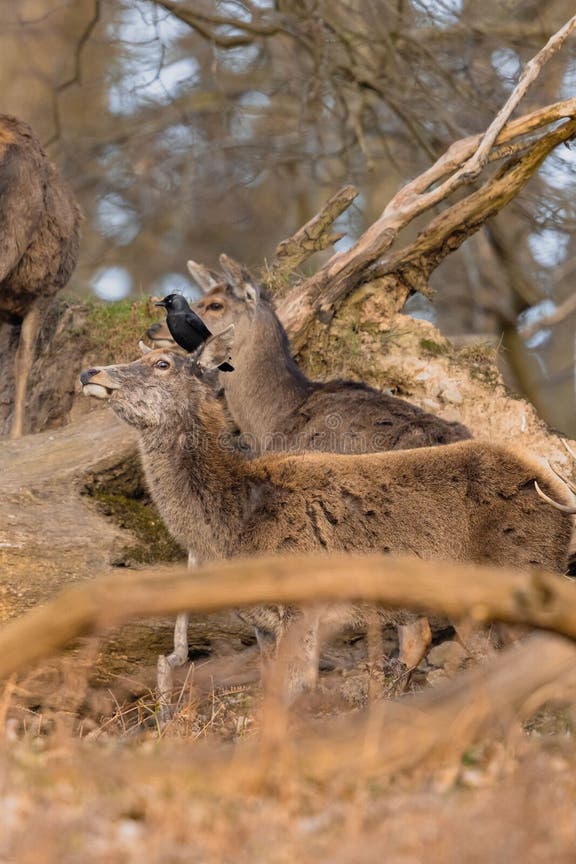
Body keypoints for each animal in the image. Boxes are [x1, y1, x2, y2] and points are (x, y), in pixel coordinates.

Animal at [80, 330, 573, 700]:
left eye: (162, 363)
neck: (233, 520)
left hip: (515, 571)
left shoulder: (302, 604)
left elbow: (294, 690)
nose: (90, 371)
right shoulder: (262, 622)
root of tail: (555, 491)